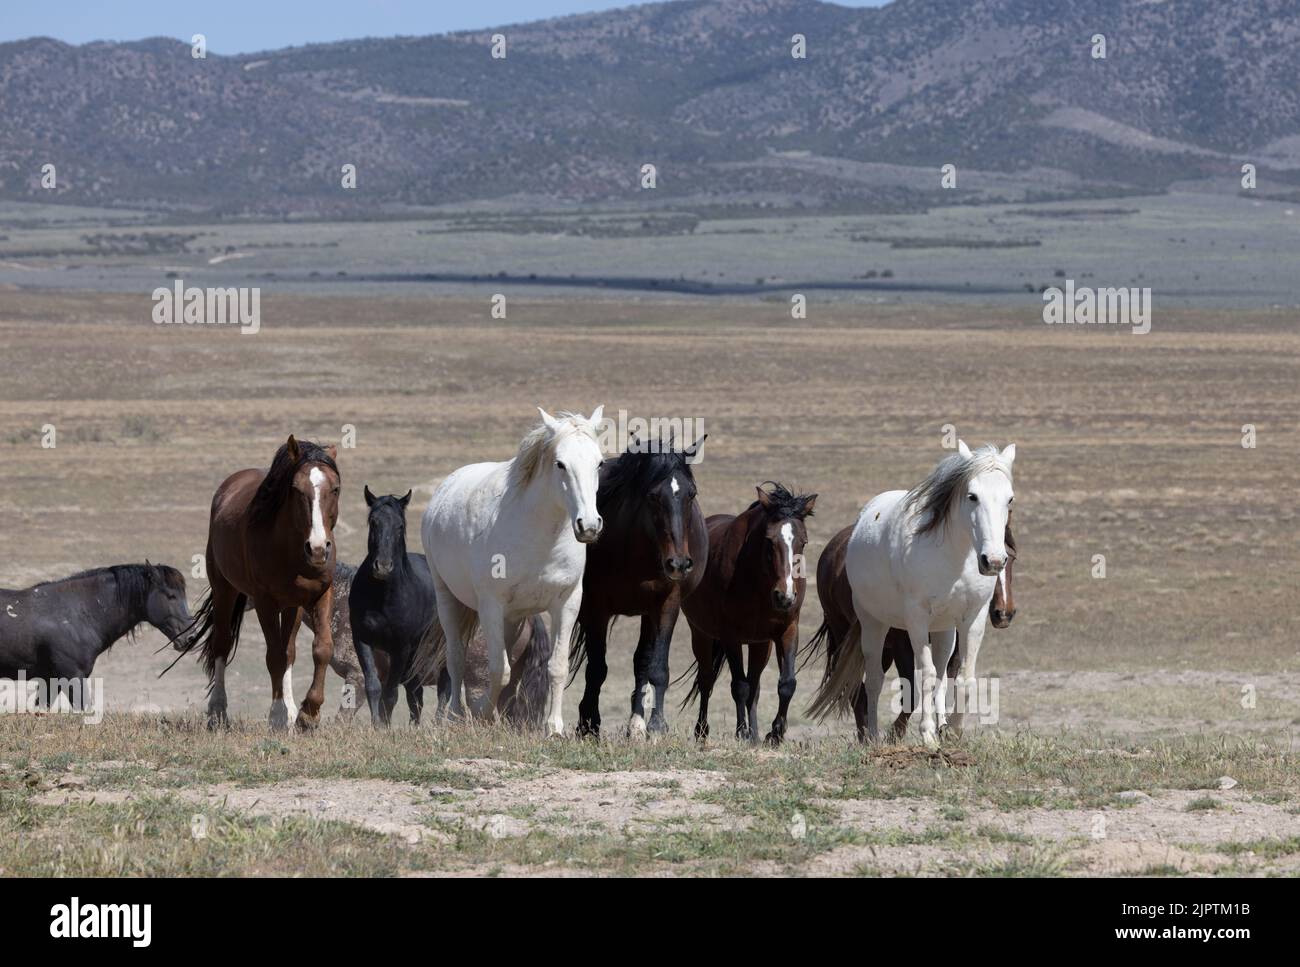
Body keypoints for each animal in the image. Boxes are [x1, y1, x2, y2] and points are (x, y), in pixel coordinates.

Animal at [172, 435, 341, 731]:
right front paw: (277, 716)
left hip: (293, 606)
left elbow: (321, 649)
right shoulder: (265, 602)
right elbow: (274, 657)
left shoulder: (321, 595)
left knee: (289, 650)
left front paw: (307, 714)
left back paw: (292, 709)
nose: (319, 548)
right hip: (224, 590)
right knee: (222, 644)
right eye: (296, 490)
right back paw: (218, 711)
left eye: (335, 489)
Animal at [418, 406, 605, 734]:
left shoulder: (567, 602)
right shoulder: (491, 605)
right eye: (560, 464)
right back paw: (456, 715)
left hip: (513, 619)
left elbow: (556, 666)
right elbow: (497, 669)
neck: (539, 536)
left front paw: (554, 727)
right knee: (456, 658)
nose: (589, 526)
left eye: (599, 463)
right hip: (448, 599)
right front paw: (482, 713)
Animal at [566, 437, 709, 738]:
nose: (678, 563)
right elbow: (596, 669)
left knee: (642, 661)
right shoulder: (596, 608)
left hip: (647, 613)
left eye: (691, 494)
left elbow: (656, 667)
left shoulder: (666, 605)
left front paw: (656, 725)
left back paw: (637, 723)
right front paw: (588, 725)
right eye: (653, 496)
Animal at [680, 483, 817, 744]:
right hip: (700, 633)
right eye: (769, 541)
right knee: (707, 680)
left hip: (760, 643)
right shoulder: (730, 635)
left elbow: (787, 684)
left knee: (755, 684)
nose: (785, 596)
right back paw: (702, 731)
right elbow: (739, 686)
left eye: (803, 542)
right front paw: (742, 732)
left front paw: (774, 733)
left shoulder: (787, 630)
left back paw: (754, 734)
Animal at [808, 441, 1016, 746]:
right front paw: (928, 735)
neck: (953, 556)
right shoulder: (916, 619)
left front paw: (952, 731)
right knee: (873, 680)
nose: (993, 560)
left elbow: (963, 677)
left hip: (944, 630)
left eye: (1009, 499)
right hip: (873, 623)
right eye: (972, 496)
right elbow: (924, 676)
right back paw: (872, 736)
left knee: (940, 673)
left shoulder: (972, 618)